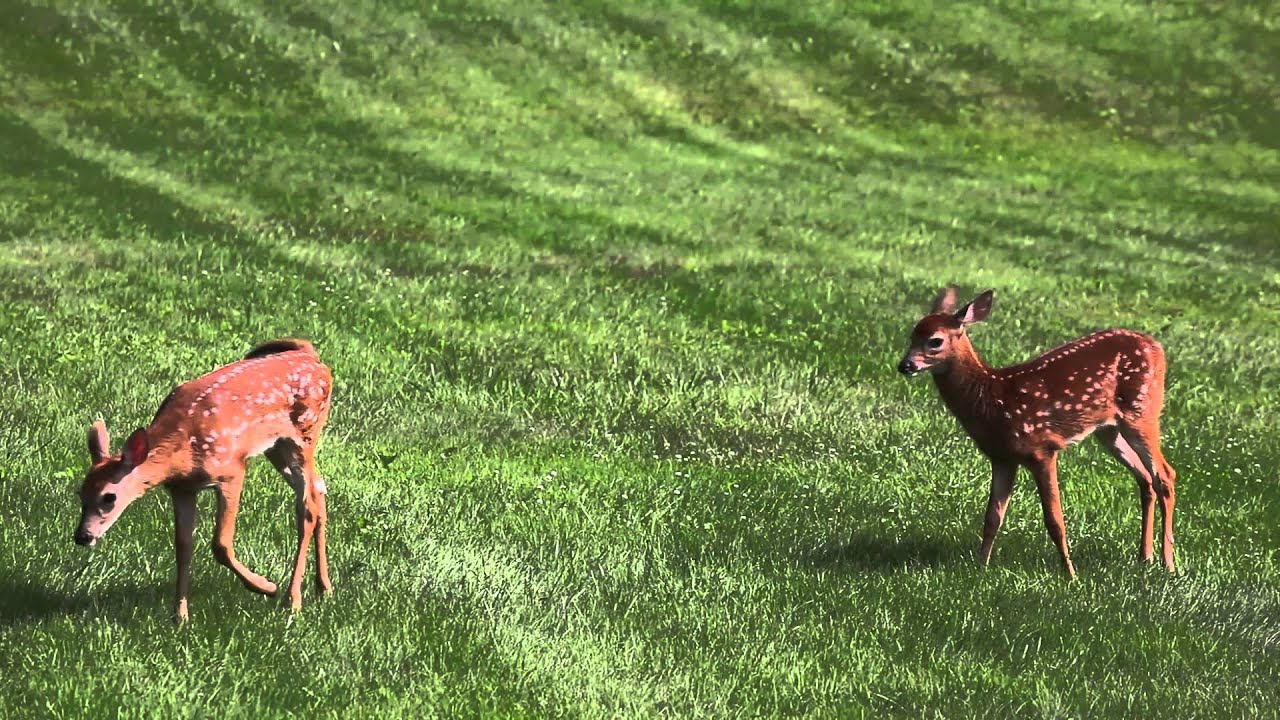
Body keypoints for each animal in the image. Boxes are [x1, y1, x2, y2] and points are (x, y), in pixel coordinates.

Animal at [74, 338, 333, 623]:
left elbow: (220, 543)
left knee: (307, 506)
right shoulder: (182, 489)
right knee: (319, 489)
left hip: (304, 434)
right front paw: (179, 616)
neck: (182, 451)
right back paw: (323, 587)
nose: (82, 536)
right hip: (276, 447)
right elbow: (183, 546)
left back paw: (291, 599)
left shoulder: (232, 470)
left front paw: (265, 586)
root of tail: (311, 357)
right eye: (80, 493)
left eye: (109, 497)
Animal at [897, 288, 1177, 577]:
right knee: (1145, 478)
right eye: (912, 335)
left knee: (1165, 475)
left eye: (935, 341)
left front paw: (1070, 574)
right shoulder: (1001, 458)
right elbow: (992, 517)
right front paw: (981, 567)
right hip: (1108, 430)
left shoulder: (1042, 449)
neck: (990, 399)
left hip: (1142, 410)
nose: (904, 365)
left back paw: (1168, 563)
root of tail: (1157, 347)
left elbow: (1054, 520)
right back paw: (1145, 557)